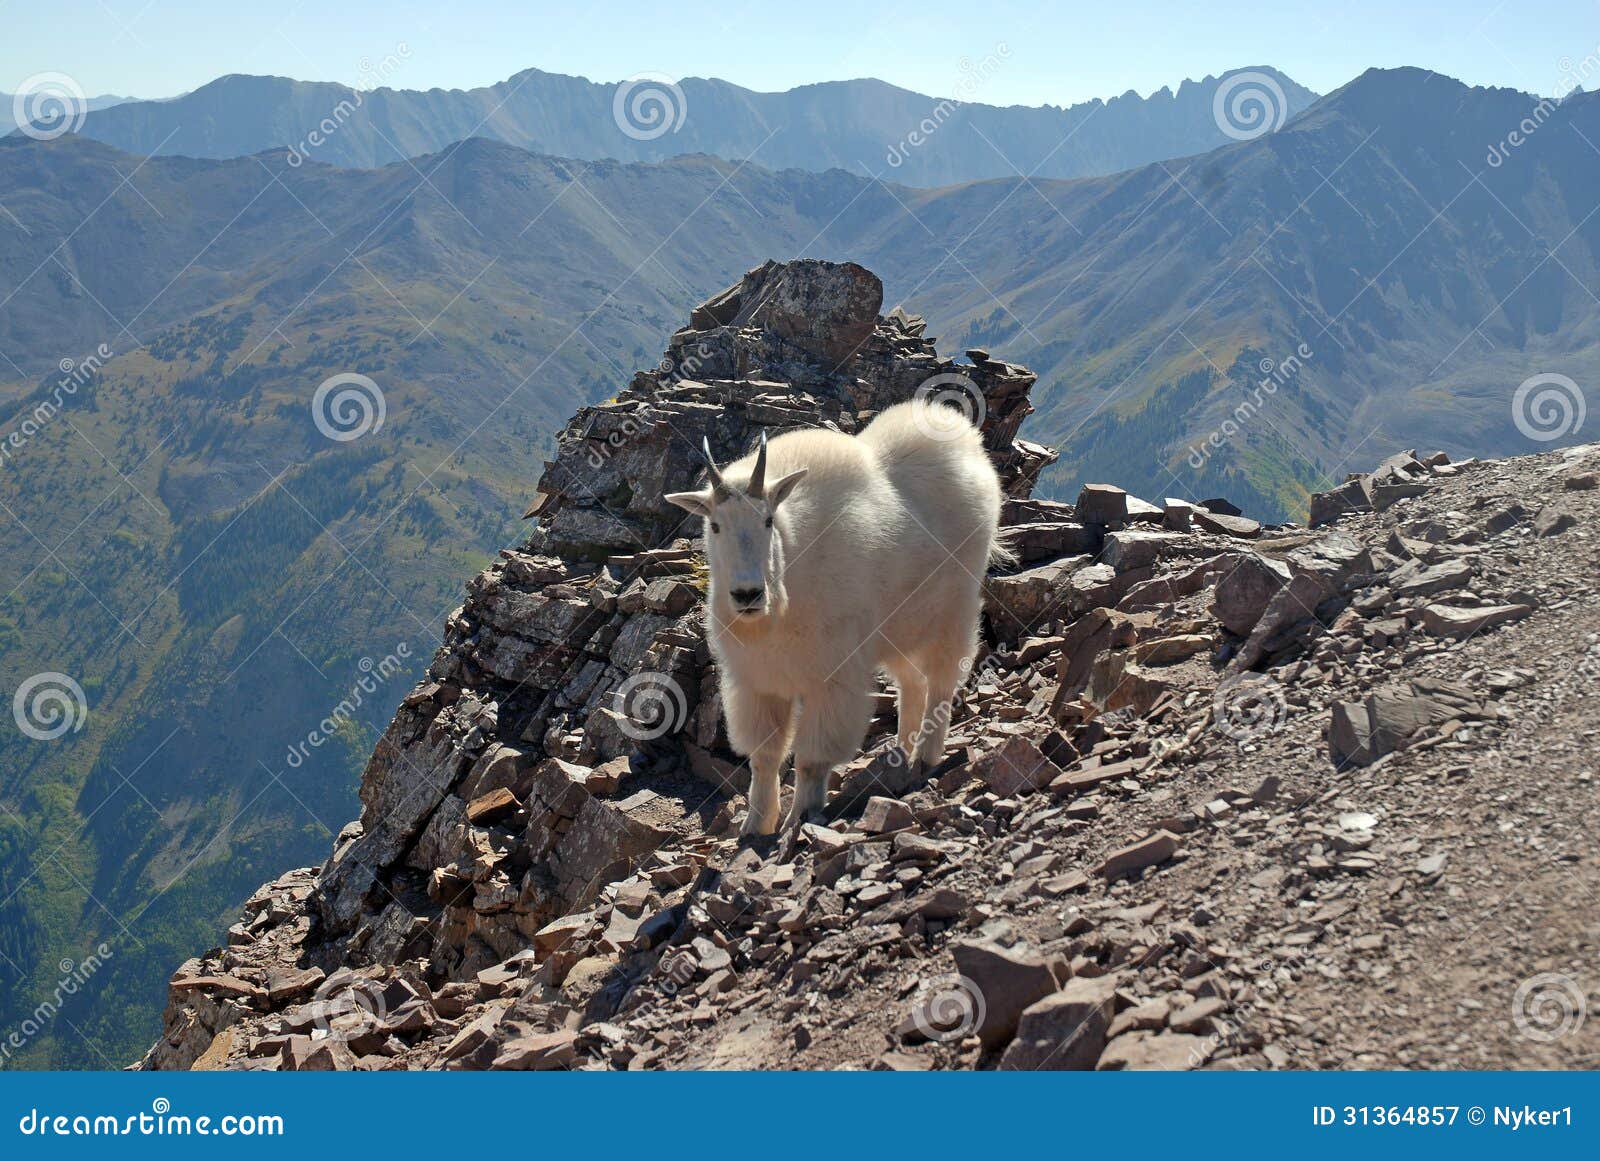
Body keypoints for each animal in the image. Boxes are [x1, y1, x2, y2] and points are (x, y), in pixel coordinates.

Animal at [666, 399, 1006, 835]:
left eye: (768, 520)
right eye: (715, 525)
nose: (747, 595)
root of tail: (964, 438)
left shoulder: (830, 677)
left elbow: (812, 758)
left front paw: (798, 819)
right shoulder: (758, 682)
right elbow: (765, 757)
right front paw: (756, 826)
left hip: (954, 609)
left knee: (942, 681)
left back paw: (926, 758)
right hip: (899, 630)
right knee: (911, 684)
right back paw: (901, 752)